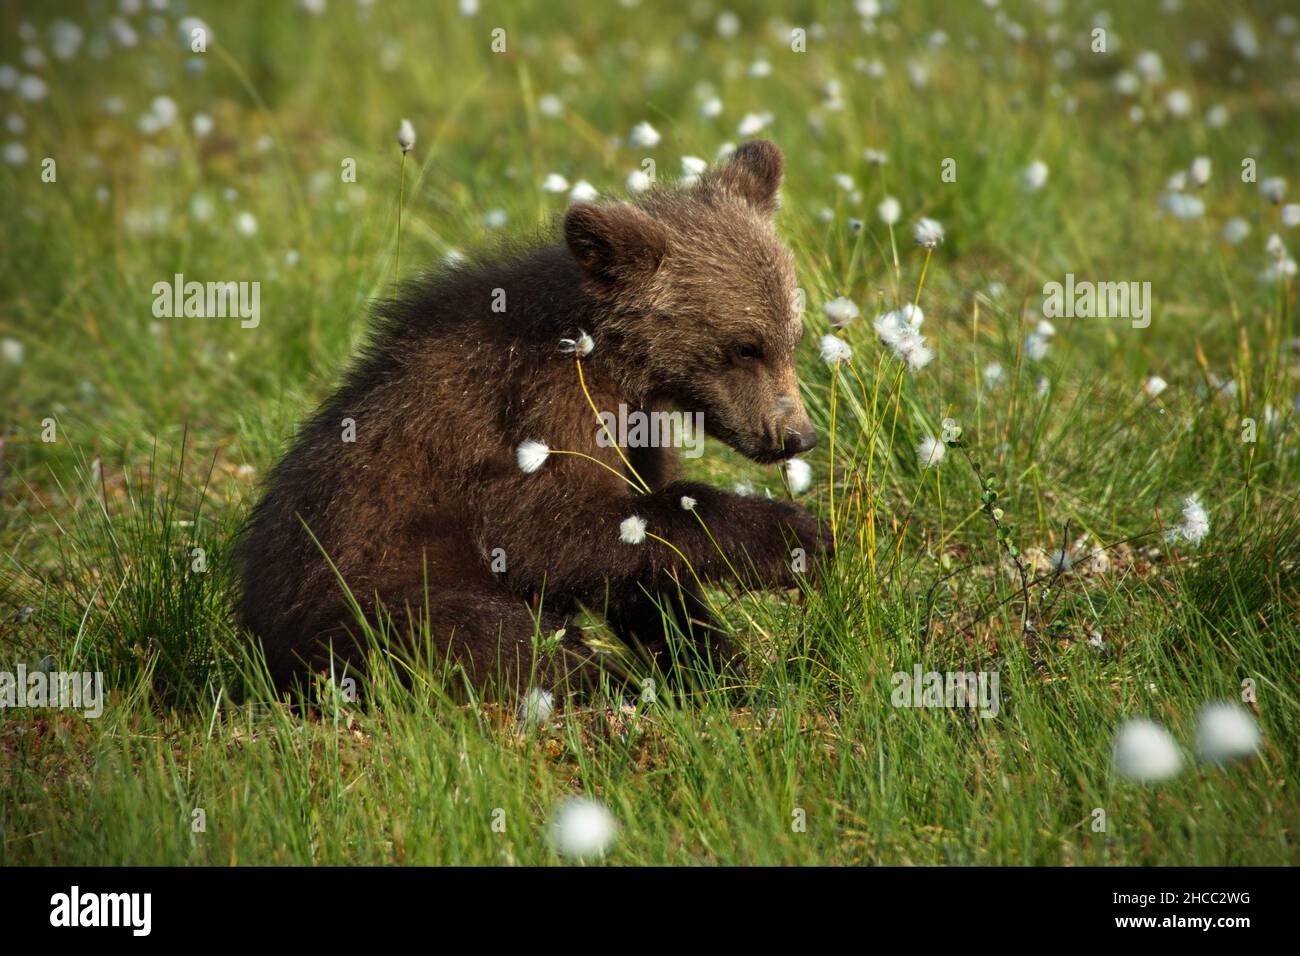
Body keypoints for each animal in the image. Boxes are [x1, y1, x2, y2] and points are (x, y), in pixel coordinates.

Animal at [235, 139, 833, 698]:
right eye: (745, 347)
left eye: (792, 338)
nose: (797, 436)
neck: (610, 359)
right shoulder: (533, 413)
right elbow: (545, 532)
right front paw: (793, 537)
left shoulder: (635, 430)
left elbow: (642, 568)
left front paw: (715, 661)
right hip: (370, 597)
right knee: (486, 635)